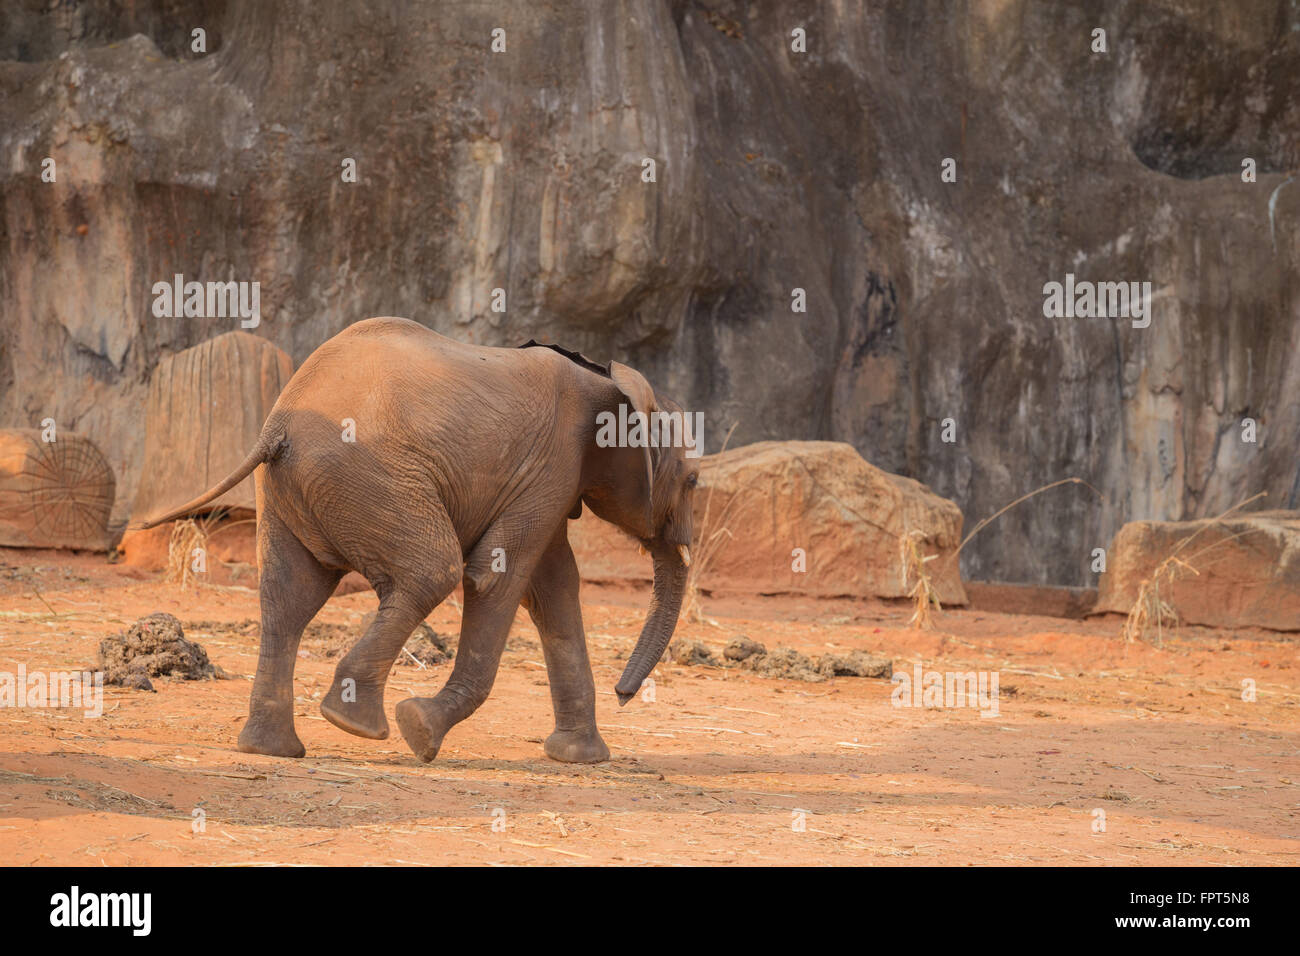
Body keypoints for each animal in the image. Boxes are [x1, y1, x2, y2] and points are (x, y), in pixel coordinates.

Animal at [136, 317, 699, 764]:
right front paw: (421, 731)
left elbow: (553, 589)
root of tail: (278, 425)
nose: (625, 694)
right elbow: (498, 578)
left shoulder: (549, 479)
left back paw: (272, 749)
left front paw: (580, 758)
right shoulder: (553, 462)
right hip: (370, 475)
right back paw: (359, 724)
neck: (607, 378)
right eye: (693, 481)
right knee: (432, 570)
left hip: (291, 490)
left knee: (288, 598)